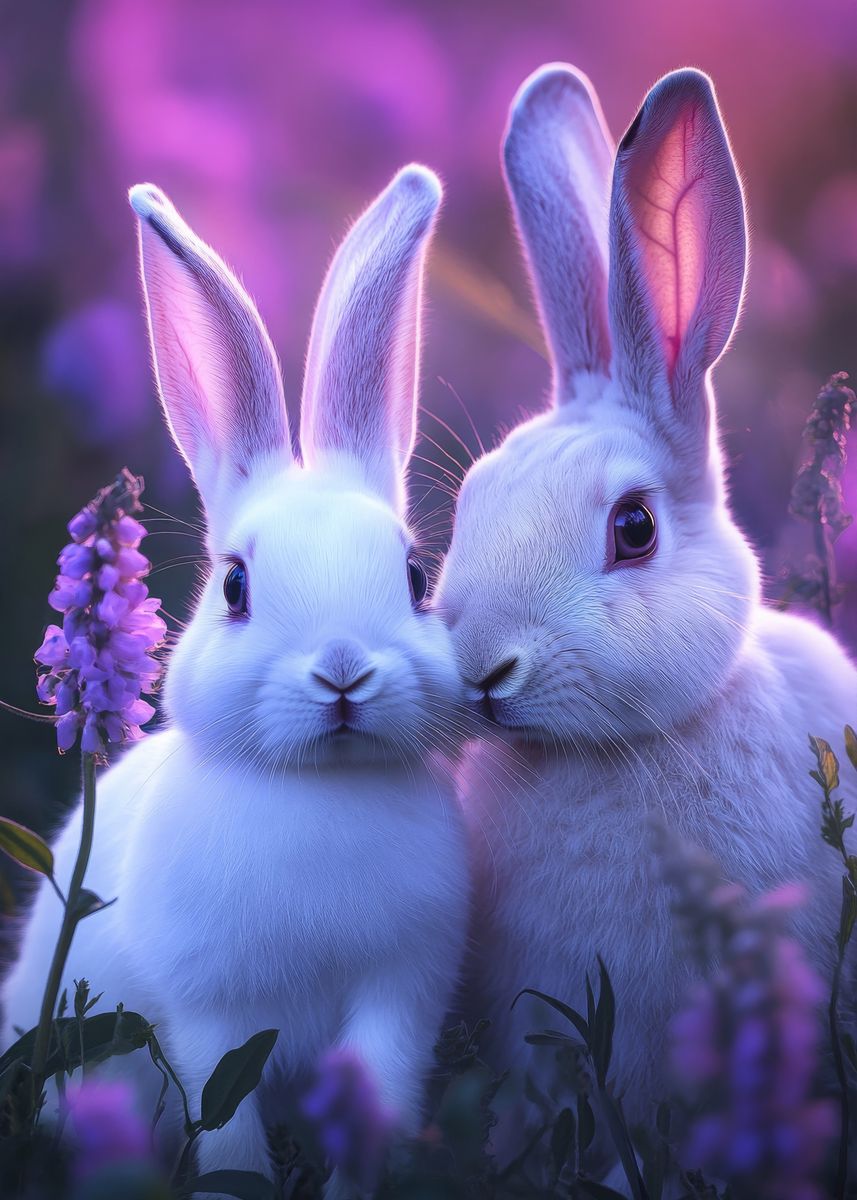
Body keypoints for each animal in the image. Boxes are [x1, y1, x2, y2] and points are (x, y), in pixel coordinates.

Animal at [3, 165, 470, 1194]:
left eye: (415, 578)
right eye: (235, 586)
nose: (343, 673)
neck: (318, 789)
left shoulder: (402, 987)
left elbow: (374, 1093)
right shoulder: (209, 1011)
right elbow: (229, 1139)